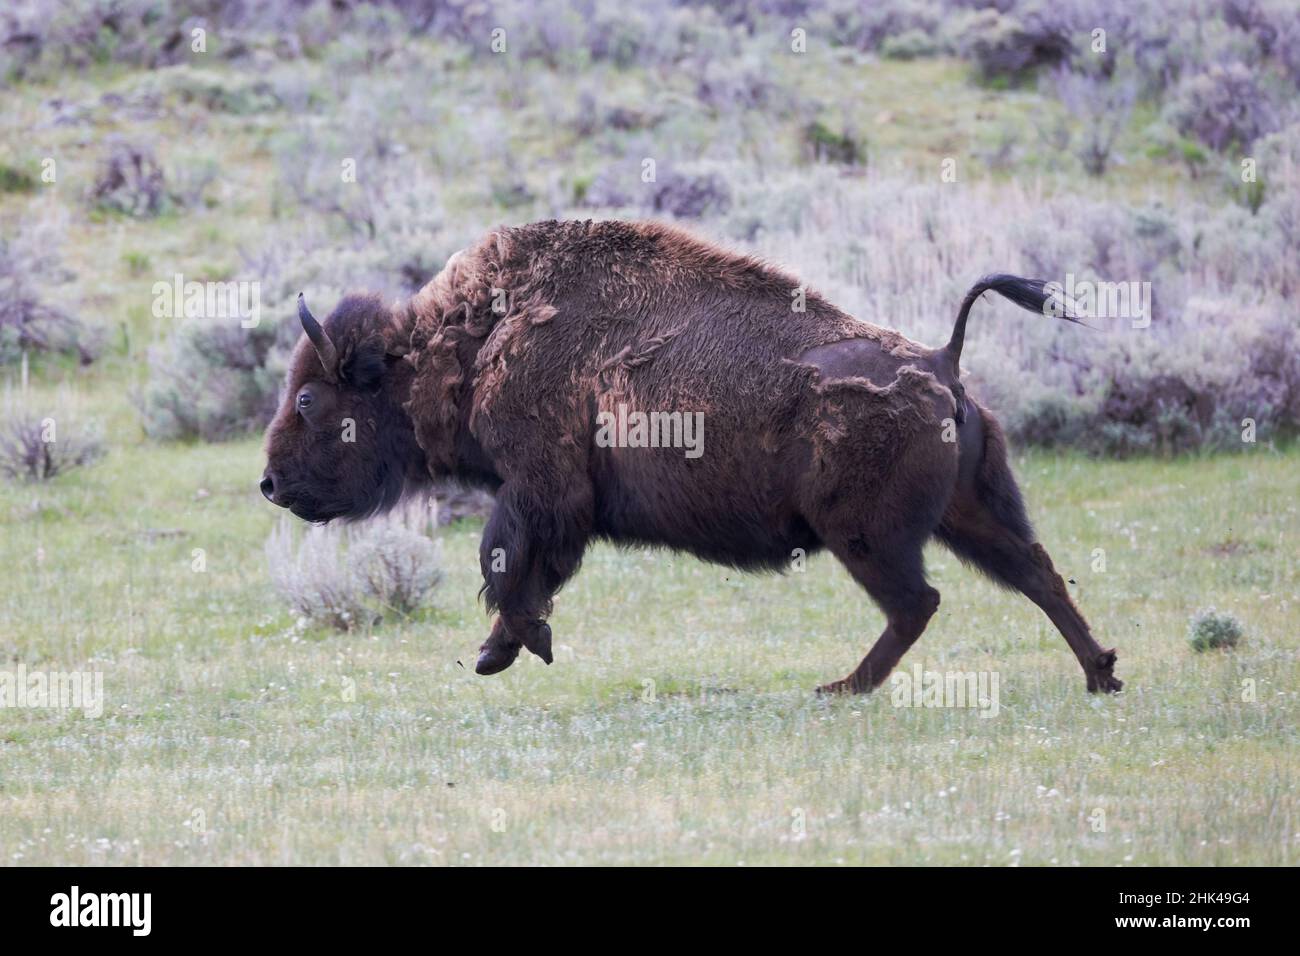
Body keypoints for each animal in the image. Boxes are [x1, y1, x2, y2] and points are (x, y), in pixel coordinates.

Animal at [260, 219, 1122, 695]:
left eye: (309, 401)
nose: (268, 483)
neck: (474, 341)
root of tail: (942, 362)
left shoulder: (540, 490)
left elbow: (503, 562)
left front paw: (508, 649)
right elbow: (518, 568)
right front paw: (510, 647)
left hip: (867, 536)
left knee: (919, 601)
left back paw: (841, 688)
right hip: (969, 513)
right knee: (1035, 574)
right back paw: (1101, 674)